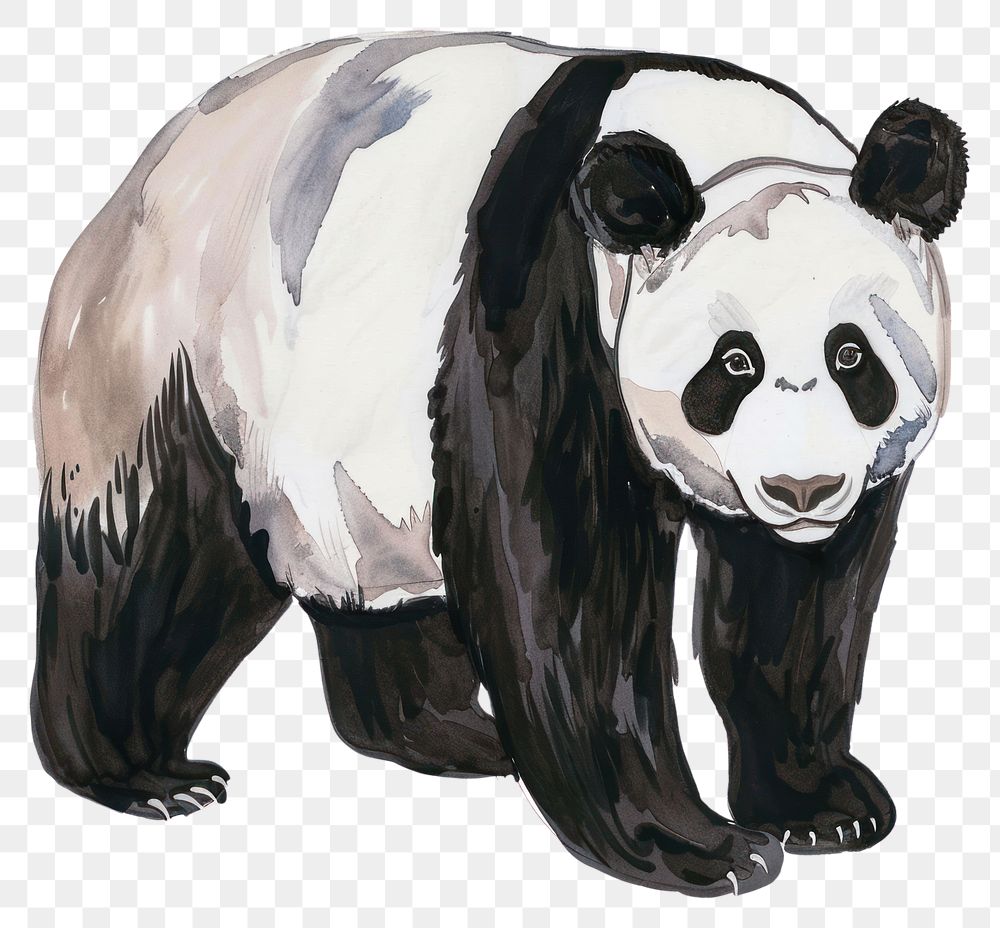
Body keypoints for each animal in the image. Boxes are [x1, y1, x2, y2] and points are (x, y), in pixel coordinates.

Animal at [32, 32, 966, 896]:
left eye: (852, 356)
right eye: (733, 363)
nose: (801, 488)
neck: (721, 147)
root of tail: (132, 186)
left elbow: (796, 602)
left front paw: (823, 808)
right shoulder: (537, 311)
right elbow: (567, 585)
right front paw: (697, 848)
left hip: (342, 446)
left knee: (371, 574)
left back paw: (448, 731)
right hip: (176, 360)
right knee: (153, 564)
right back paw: (145, 775)